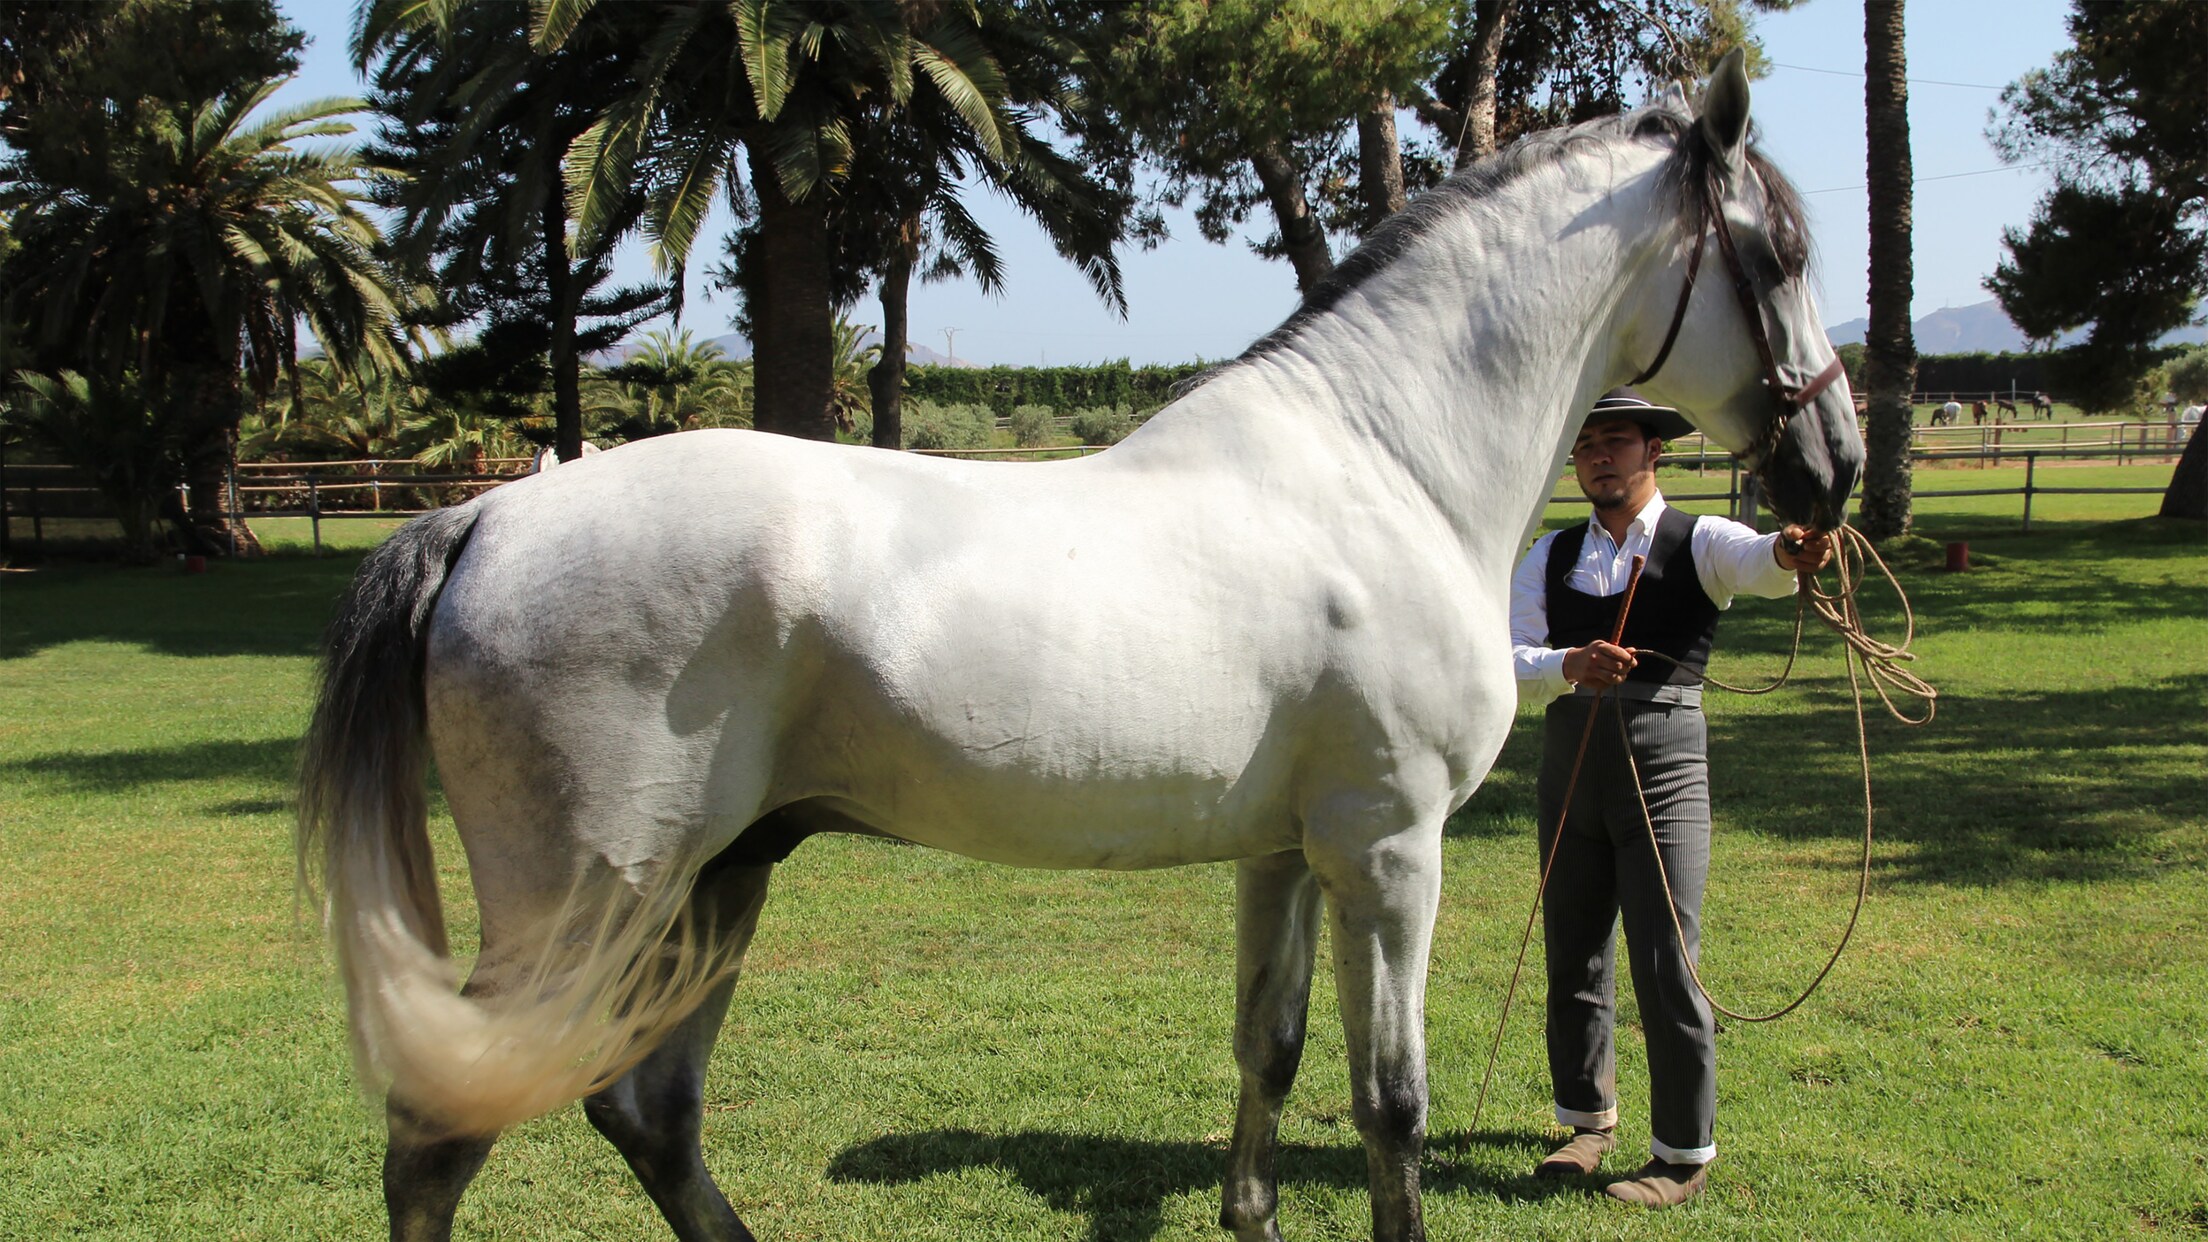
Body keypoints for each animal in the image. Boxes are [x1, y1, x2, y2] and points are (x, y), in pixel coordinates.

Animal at [299, 53, 1860, 1242]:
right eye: (1778, 254)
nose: (1833, 470)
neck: (1385, 464)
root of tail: (491, 513)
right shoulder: (1389, 849)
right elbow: (1390, 1103)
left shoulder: (1286, 851)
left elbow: (1272, 1049)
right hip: (592, 901)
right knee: (446, 1131)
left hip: (717, 878)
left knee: (647, 1110)